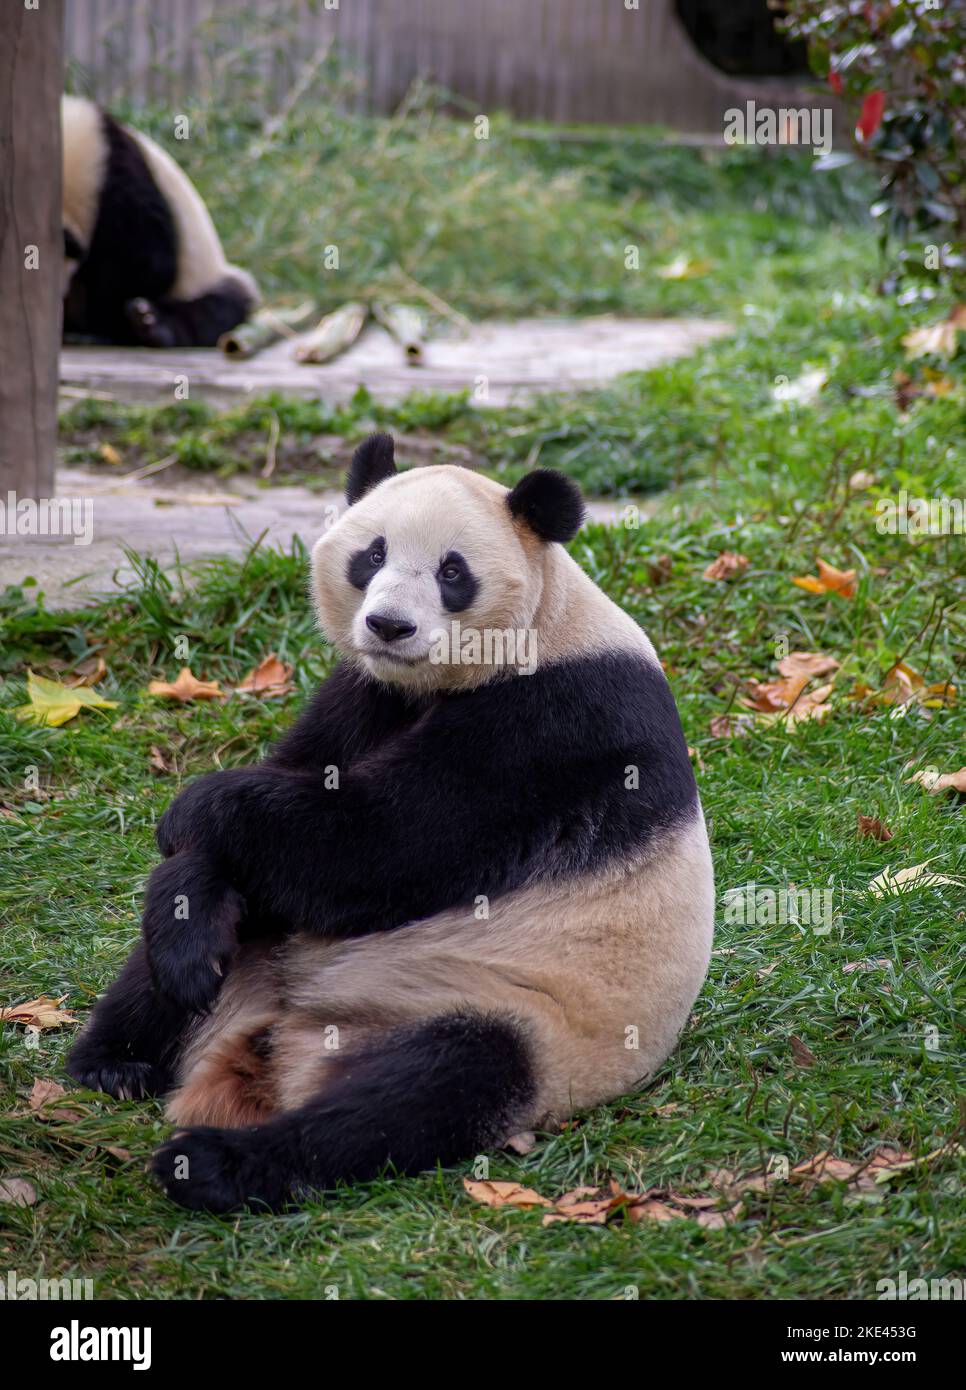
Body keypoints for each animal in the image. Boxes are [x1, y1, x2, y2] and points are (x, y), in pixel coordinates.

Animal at [61, 95, 258, 347]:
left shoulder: (109, 173)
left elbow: (147, 259)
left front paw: (102, 324)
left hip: (207, 279)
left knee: (221, 307)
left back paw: (150, 325)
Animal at [67, 434, 714, 1213]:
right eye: (371, 555)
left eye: (452, 572)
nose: (388, 626)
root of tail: (285, 1044)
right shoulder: (362, 692)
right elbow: (289, 815)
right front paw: (189, 931)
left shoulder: (562, 717)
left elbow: (387, 848)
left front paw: (192, 809)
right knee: (187, 961)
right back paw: (115, 1061)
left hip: (517, 1015)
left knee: (422, 1092)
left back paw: (218, 1164)